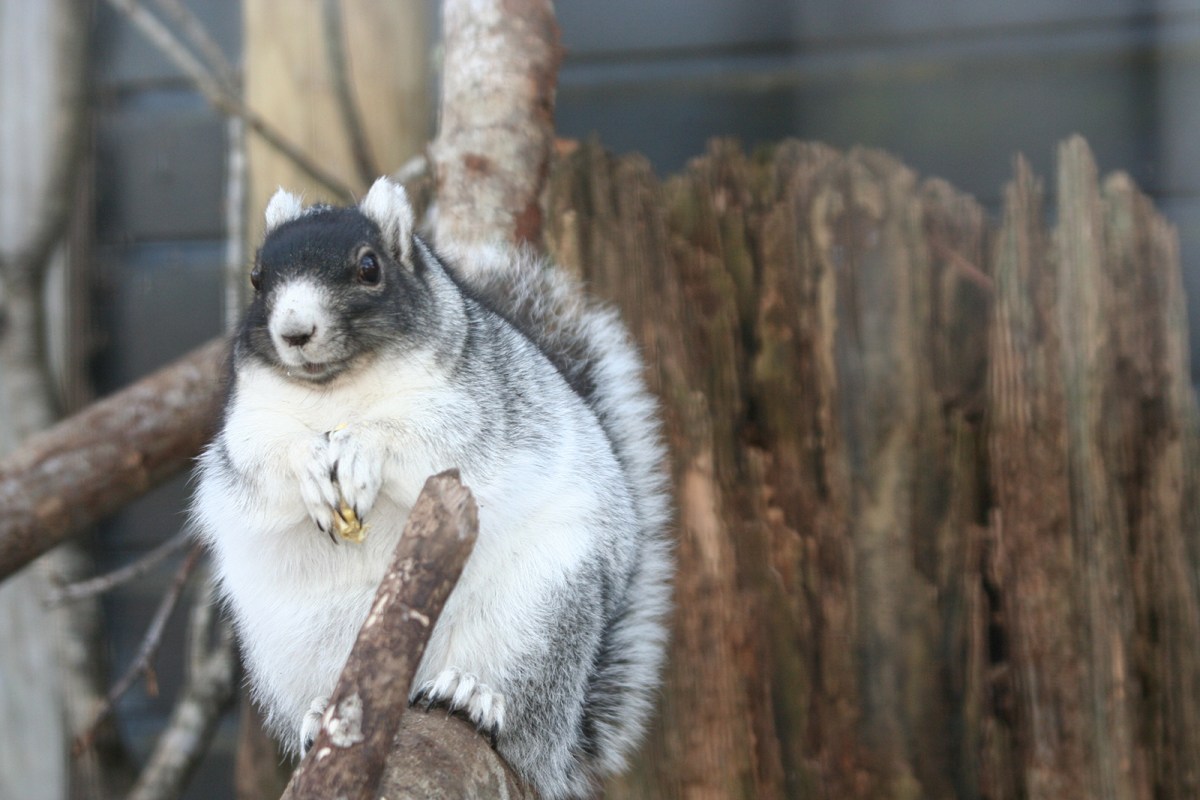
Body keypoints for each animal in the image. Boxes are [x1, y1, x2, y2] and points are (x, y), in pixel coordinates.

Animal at [191, 177, 672, 799]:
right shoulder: (244, 429)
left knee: (526, 726)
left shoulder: (469, 410)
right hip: (293, 641)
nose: (294, 332)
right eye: (256, 278)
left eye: (369, 267)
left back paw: (473, 697)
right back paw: (322, 714)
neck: (335, 392)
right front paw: (309, 467)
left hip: (540, 615)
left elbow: (419, 436)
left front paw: (361, 448)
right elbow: (262, 462)